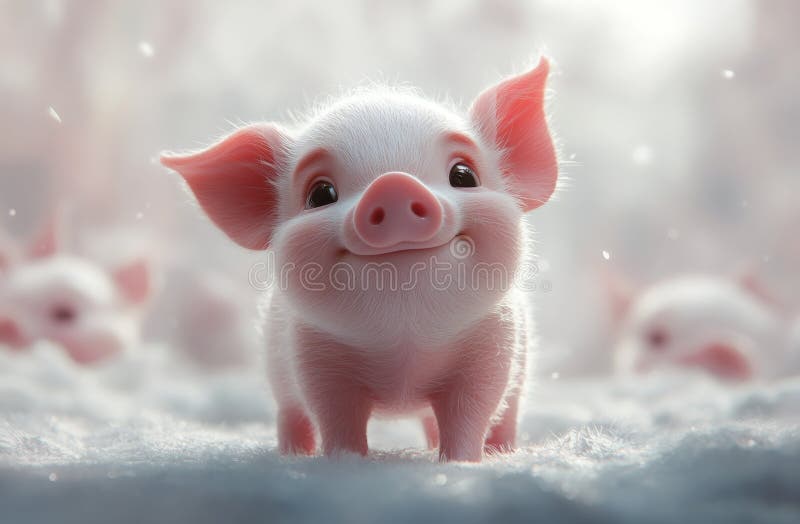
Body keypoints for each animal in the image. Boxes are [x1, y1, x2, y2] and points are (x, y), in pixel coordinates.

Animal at [162, 57, 558, 461]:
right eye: (321, 194)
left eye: (463, 176)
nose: (394, 184)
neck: (405, 340)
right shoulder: (314, 357)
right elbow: (337, 417)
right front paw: (345, 461)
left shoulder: (492, 347)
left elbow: (471, 414)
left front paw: (462, 461)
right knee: (291, 415)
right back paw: (292, 454)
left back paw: (501, 451)